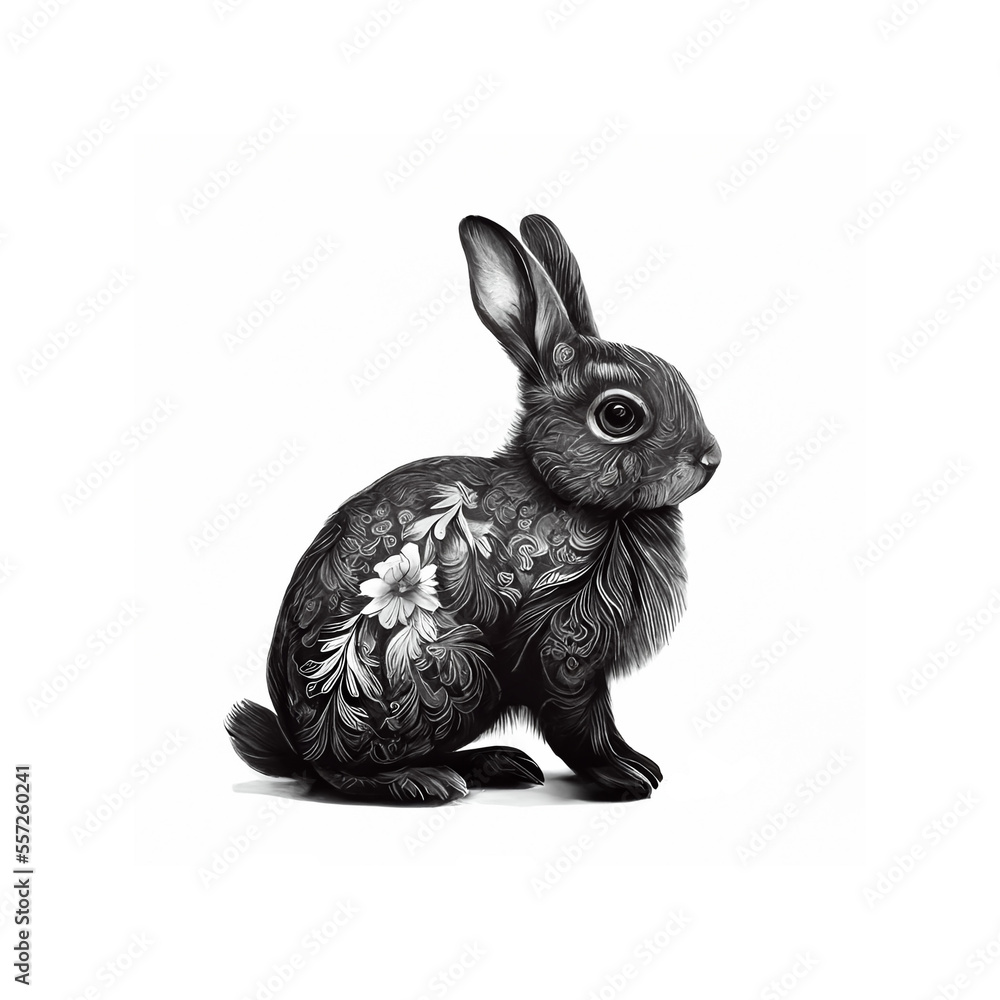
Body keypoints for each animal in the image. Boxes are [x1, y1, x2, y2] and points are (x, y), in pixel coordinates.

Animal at [226, 214, 720, 803]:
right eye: (619, 415)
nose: (711, 458)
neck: (564, 492)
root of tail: (300, 743)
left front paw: (640, 765)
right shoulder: (563, 648)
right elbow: (580, 723)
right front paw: (626, 776)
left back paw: (496, 764)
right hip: (443, 671)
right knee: (342, 774)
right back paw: (427, 781)